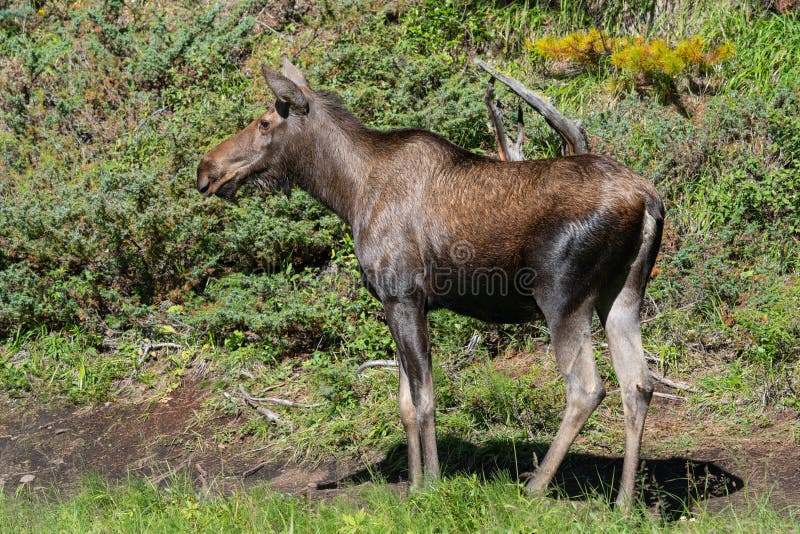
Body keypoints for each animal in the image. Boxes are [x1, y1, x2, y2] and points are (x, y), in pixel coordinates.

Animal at [196, 58, 664, 508]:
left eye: (264, 122)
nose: (206, 169)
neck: (347, 193)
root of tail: (649, 201)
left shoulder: (402, 295)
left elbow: (424, 399)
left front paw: (432, 484)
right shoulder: (401, 304)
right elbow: (404, 402)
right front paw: (416, 483)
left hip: (563, 299)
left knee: (586, 389)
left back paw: (536, 487)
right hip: (622, 295)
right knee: (638, 384)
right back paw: (624, 501)